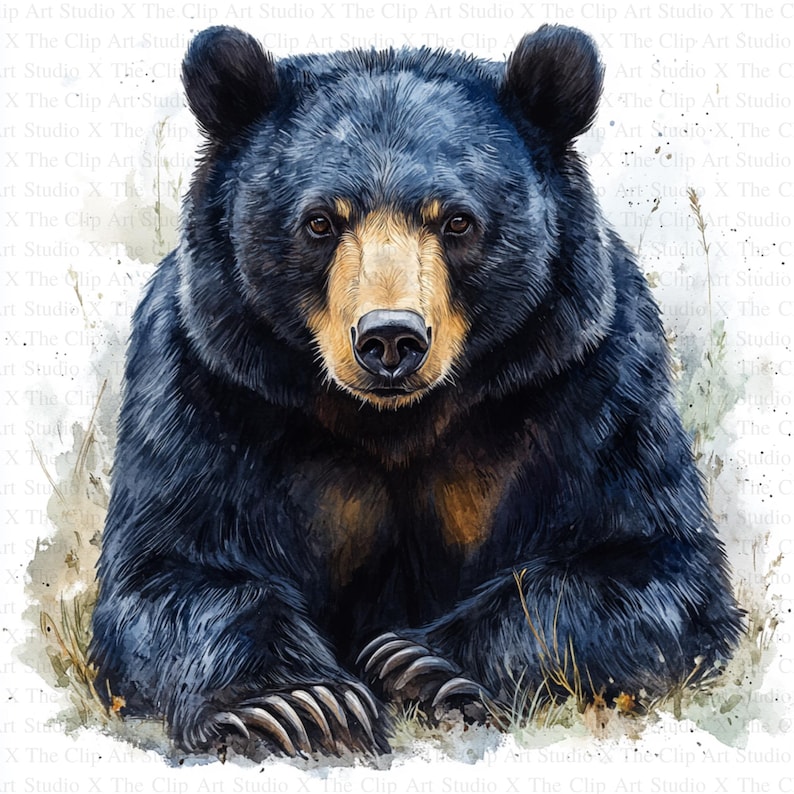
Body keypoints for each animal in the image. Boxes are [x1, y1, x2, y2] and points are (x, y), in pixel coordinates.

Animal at [89, 24, 743, 757]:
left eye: (456, 221)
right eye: (321, 221)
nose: (390, 338)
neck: (394, 421)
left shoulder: (588, 377)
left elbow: (649, 563)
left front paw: (417, 663)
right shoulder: (207, 383)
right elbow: (171, 570)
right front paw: (299, 704)